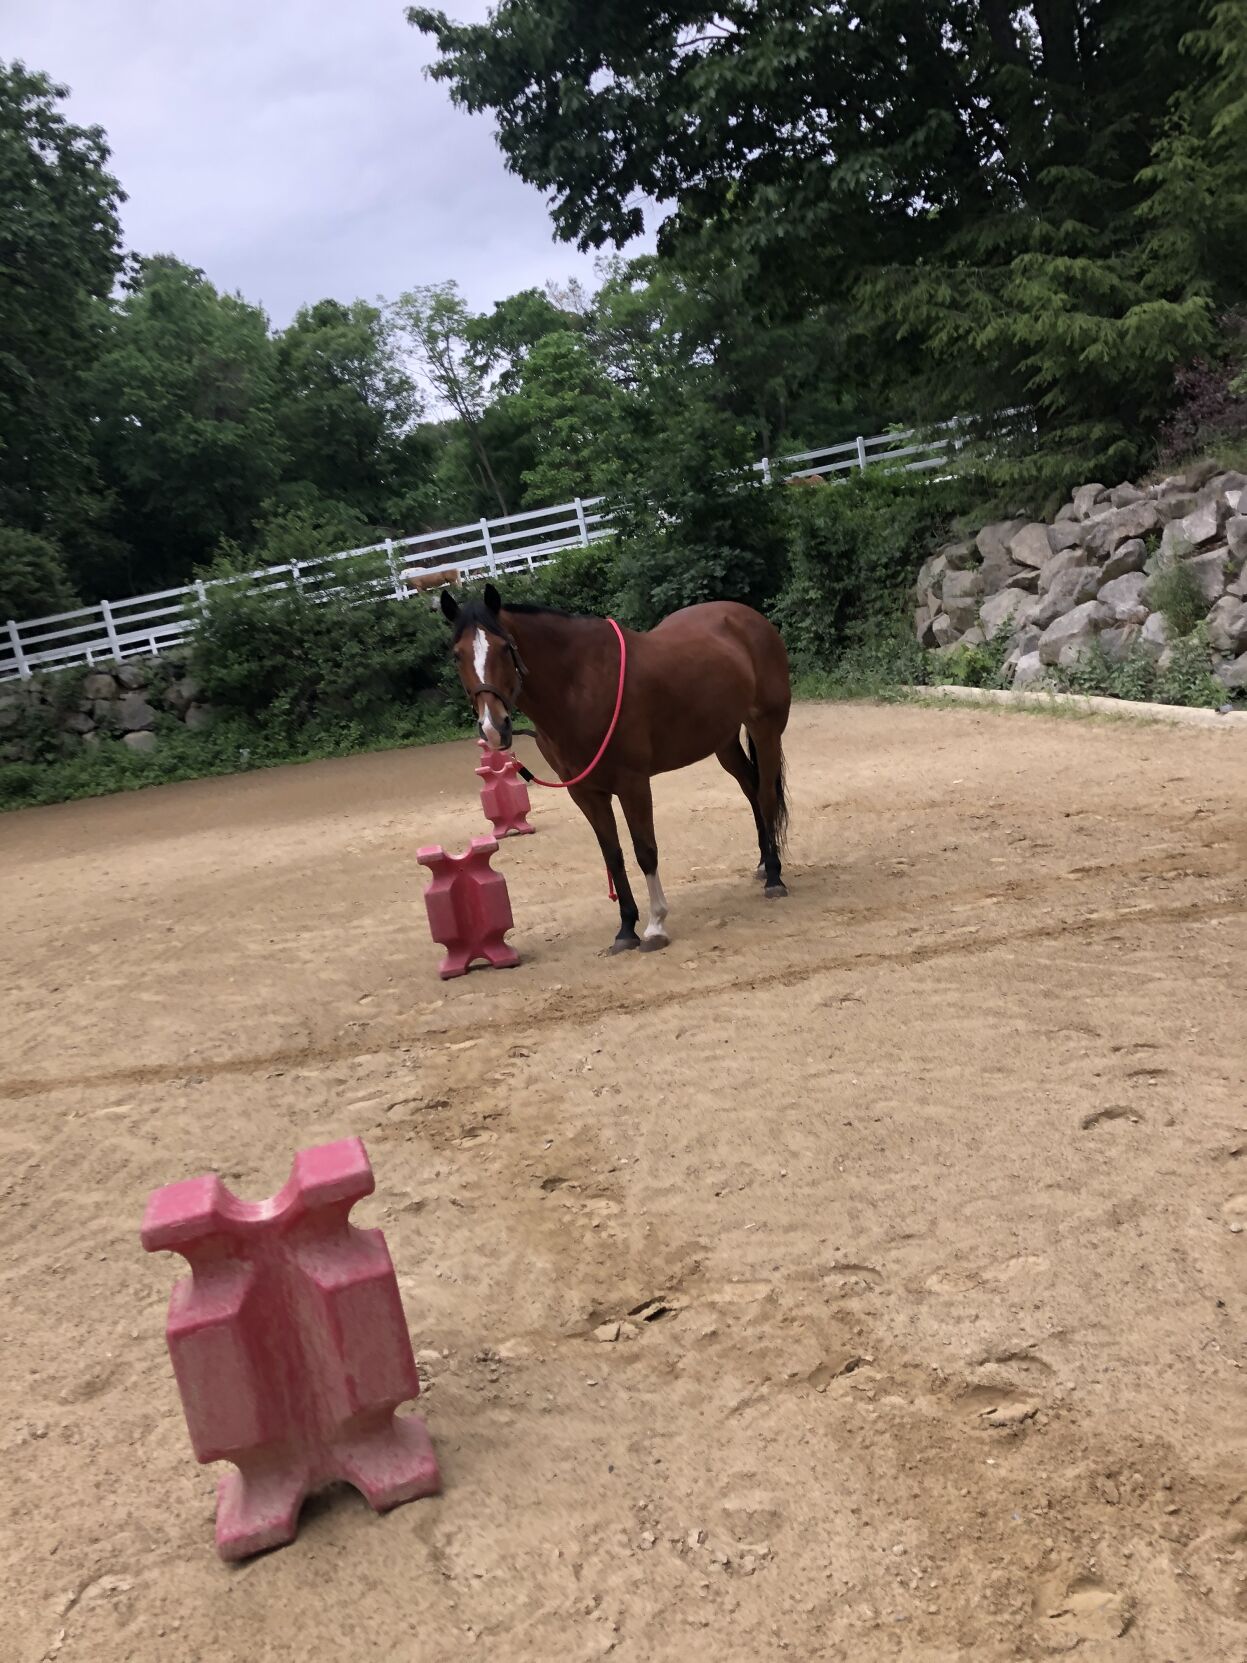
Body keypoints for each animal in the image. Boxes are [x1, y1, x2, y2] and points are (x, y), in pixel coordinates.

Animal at [438, 583, 791, 955]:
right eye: (457, 655)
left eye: (506, 648)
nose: (494, 728)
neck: (578, 685)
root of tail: (749, 619)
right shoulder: (585, 792)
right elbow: (613, 854)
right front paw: (626, 928)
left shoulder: (632, 783)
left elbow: (645, 850)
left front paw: (655, 926)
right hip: (722, 741)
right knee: (751, 790)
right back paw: (763, 863)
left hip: (765, 729)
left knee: (765, 796)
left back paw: (774, 876)